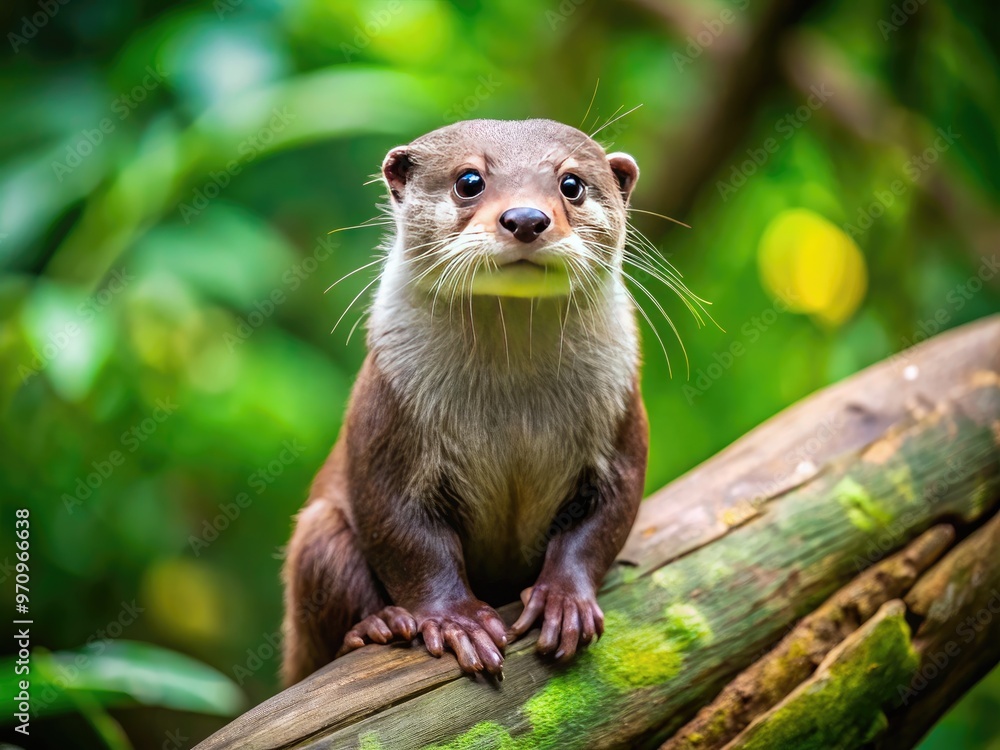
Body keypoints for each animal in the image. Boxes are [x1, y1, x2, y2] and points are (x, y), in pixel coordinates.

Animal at [281, 118, 648, 686]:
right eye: (469, 180)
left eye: (571, 184)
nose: (526, 218)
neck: (514, 404)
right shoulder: (386, 415)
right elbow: (407, 539)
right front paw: (458, 621)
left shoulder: (622, 417)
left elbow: (604, 522)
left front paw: (564, 602)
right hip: (319, 530)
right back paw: (379, 626)